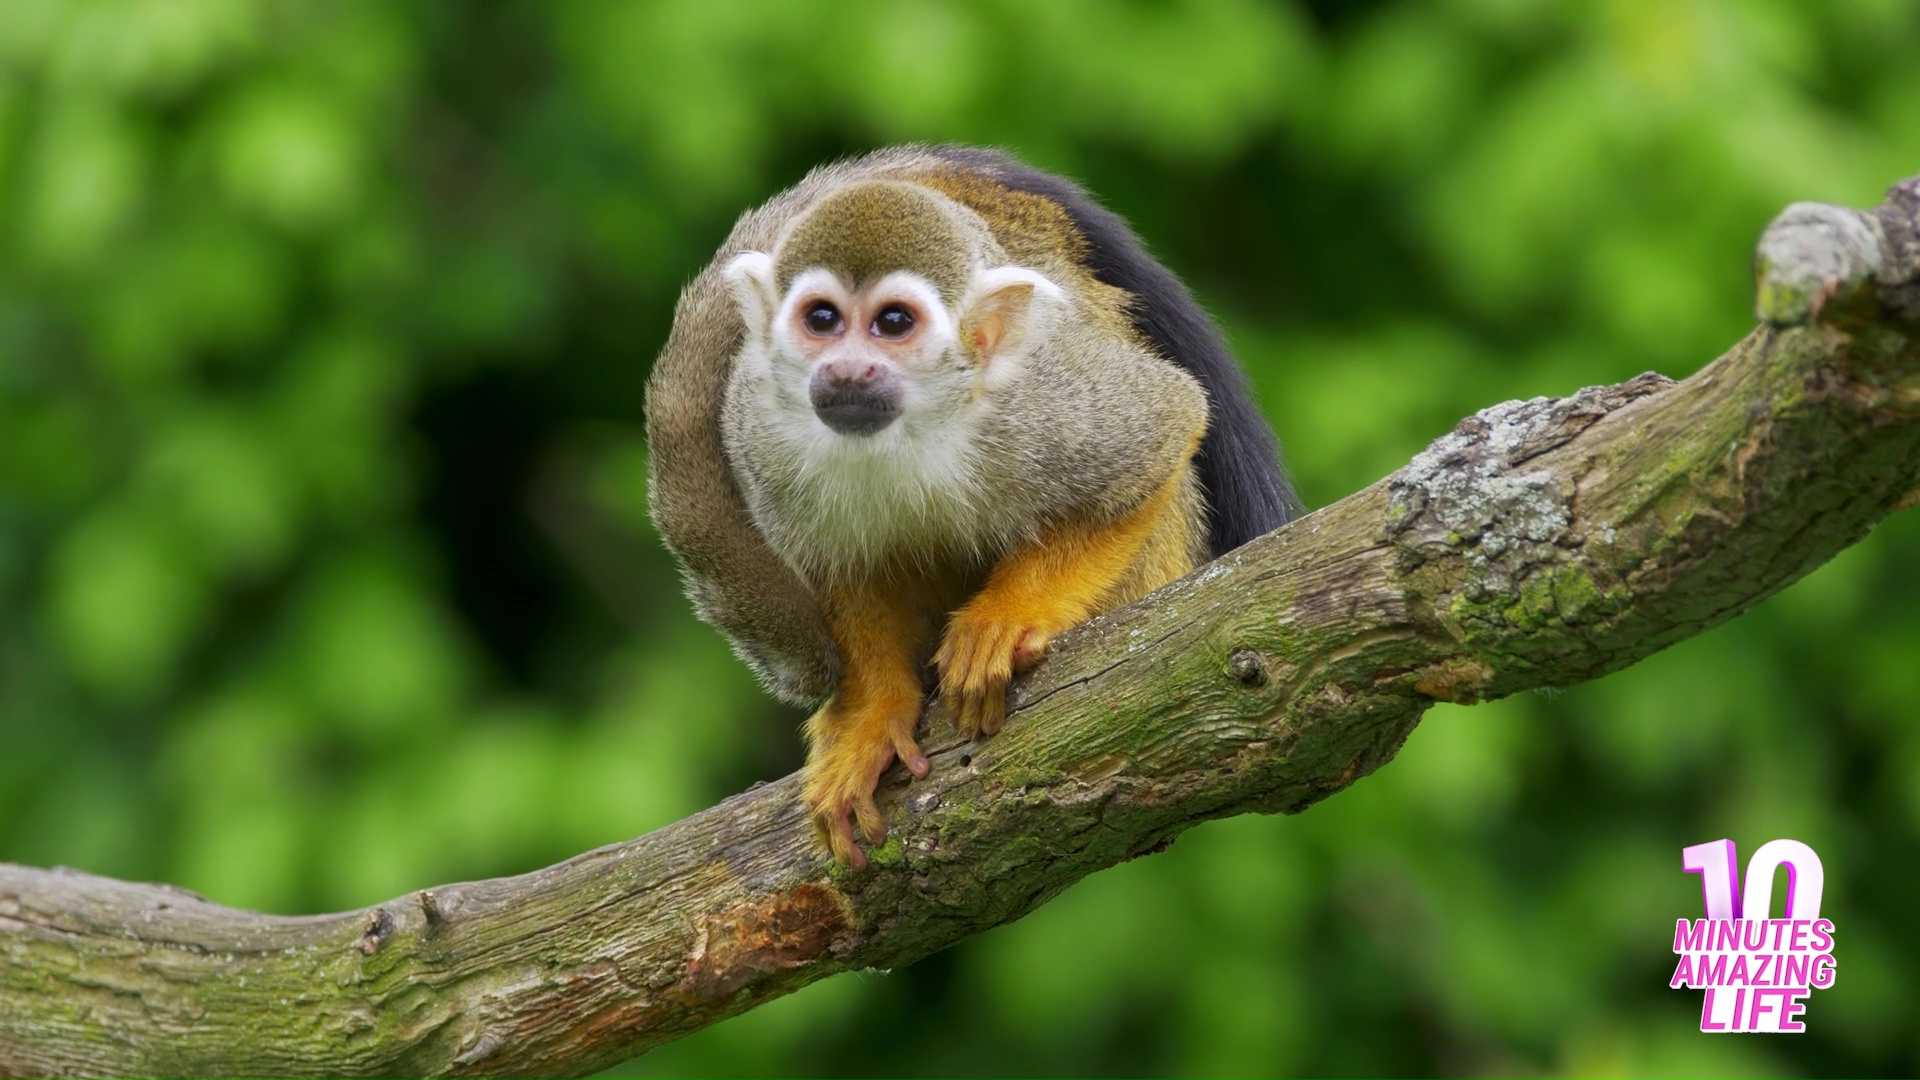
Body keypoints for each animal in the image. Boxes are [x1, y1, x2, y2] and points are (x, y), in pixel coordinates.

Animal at [646, 145, 1295, 867]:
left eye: (893, 324)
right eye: (822, 320)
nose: (846, 370)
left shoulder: (1039, 402)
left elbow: (1168, 424)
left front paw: (1010, 616)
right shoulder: (758, 428)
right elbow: (840, 571)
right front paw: (871, 715)